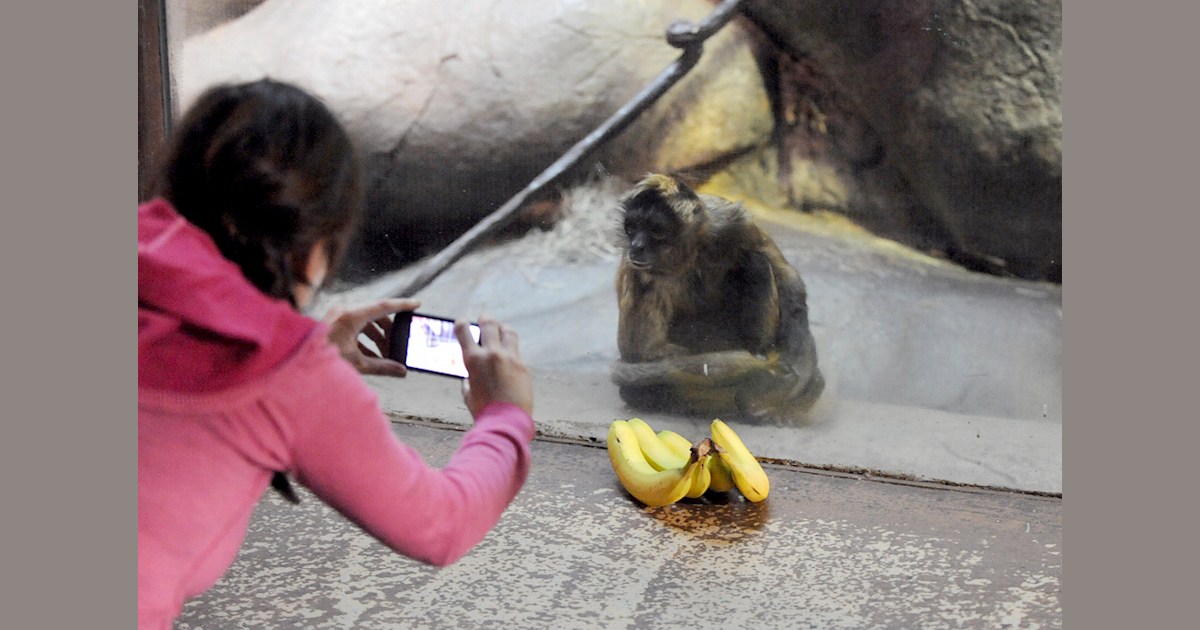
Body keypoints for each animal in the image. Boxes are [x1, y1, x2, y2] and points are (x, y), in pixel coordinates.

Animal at [611, 174, 825, 423]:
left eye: (655, 230)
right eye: (631, 228)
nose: (636, 245)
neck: (686, 255)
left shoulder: (731, 220)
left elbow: (786, 276)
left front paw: (800, 366)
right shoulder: (635, 267)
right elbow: (641, 353)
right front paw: (760, 377)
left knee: (756, 261)